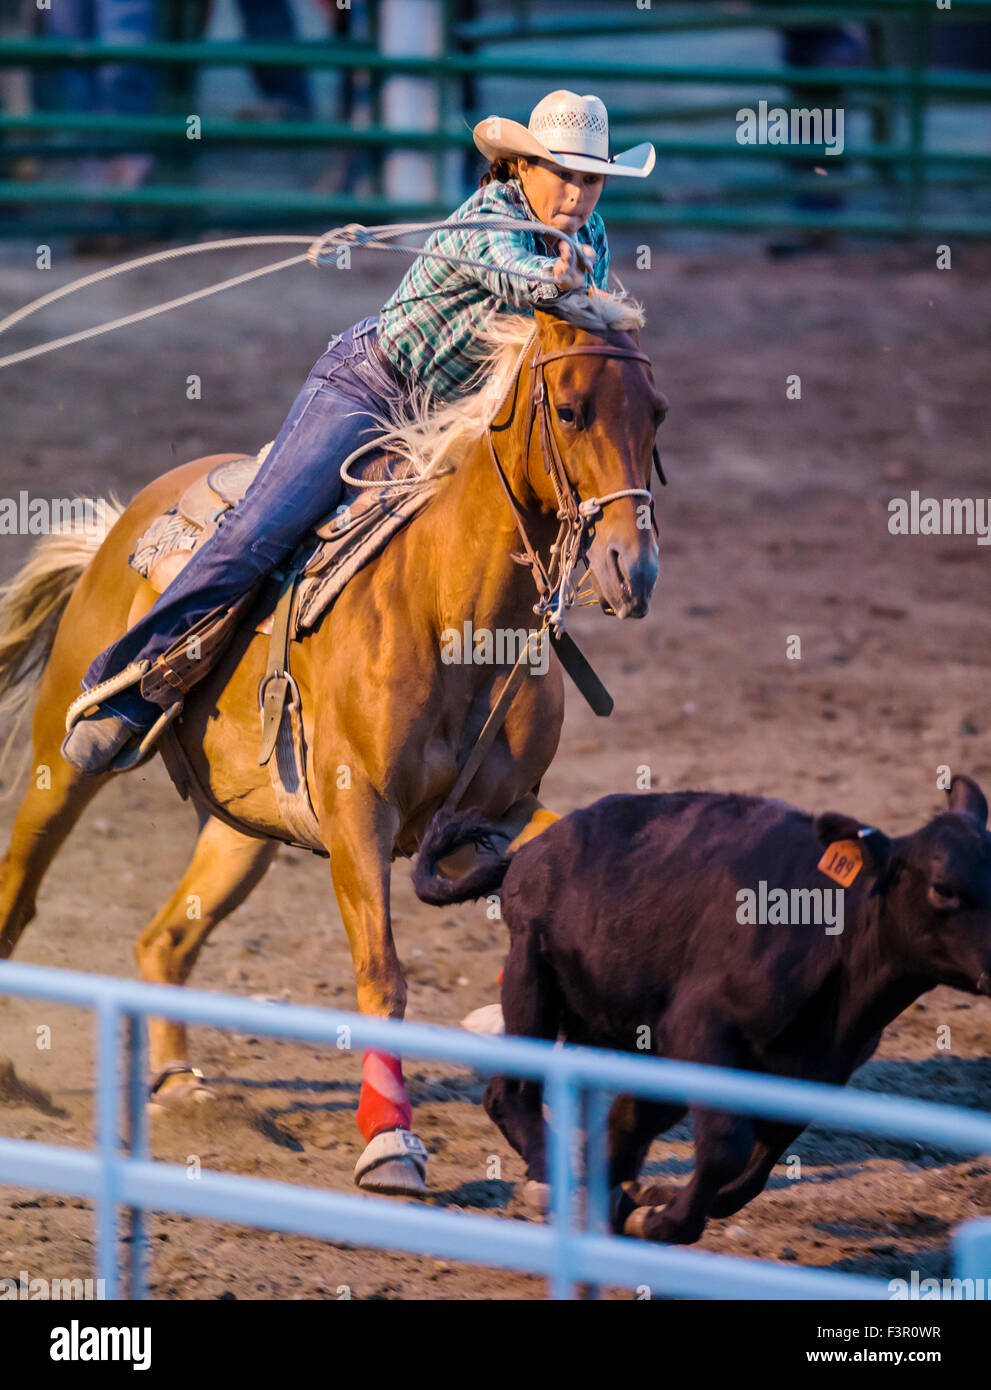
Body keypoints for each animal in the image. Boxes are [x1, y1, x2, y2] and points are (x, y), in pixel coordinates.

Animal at [412, 776, 991, 1244]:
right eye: (943, 888)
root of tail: (535, 849)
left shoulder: (818, 1073)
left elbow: (752, 1165)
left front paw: (642, 1201)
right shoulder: (699, 1032)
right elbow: (725, 1148)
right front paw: (657, 1218)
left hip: (599, 1017)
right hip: (531, 972)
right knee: (511, 1093)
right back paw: (553, 1181)